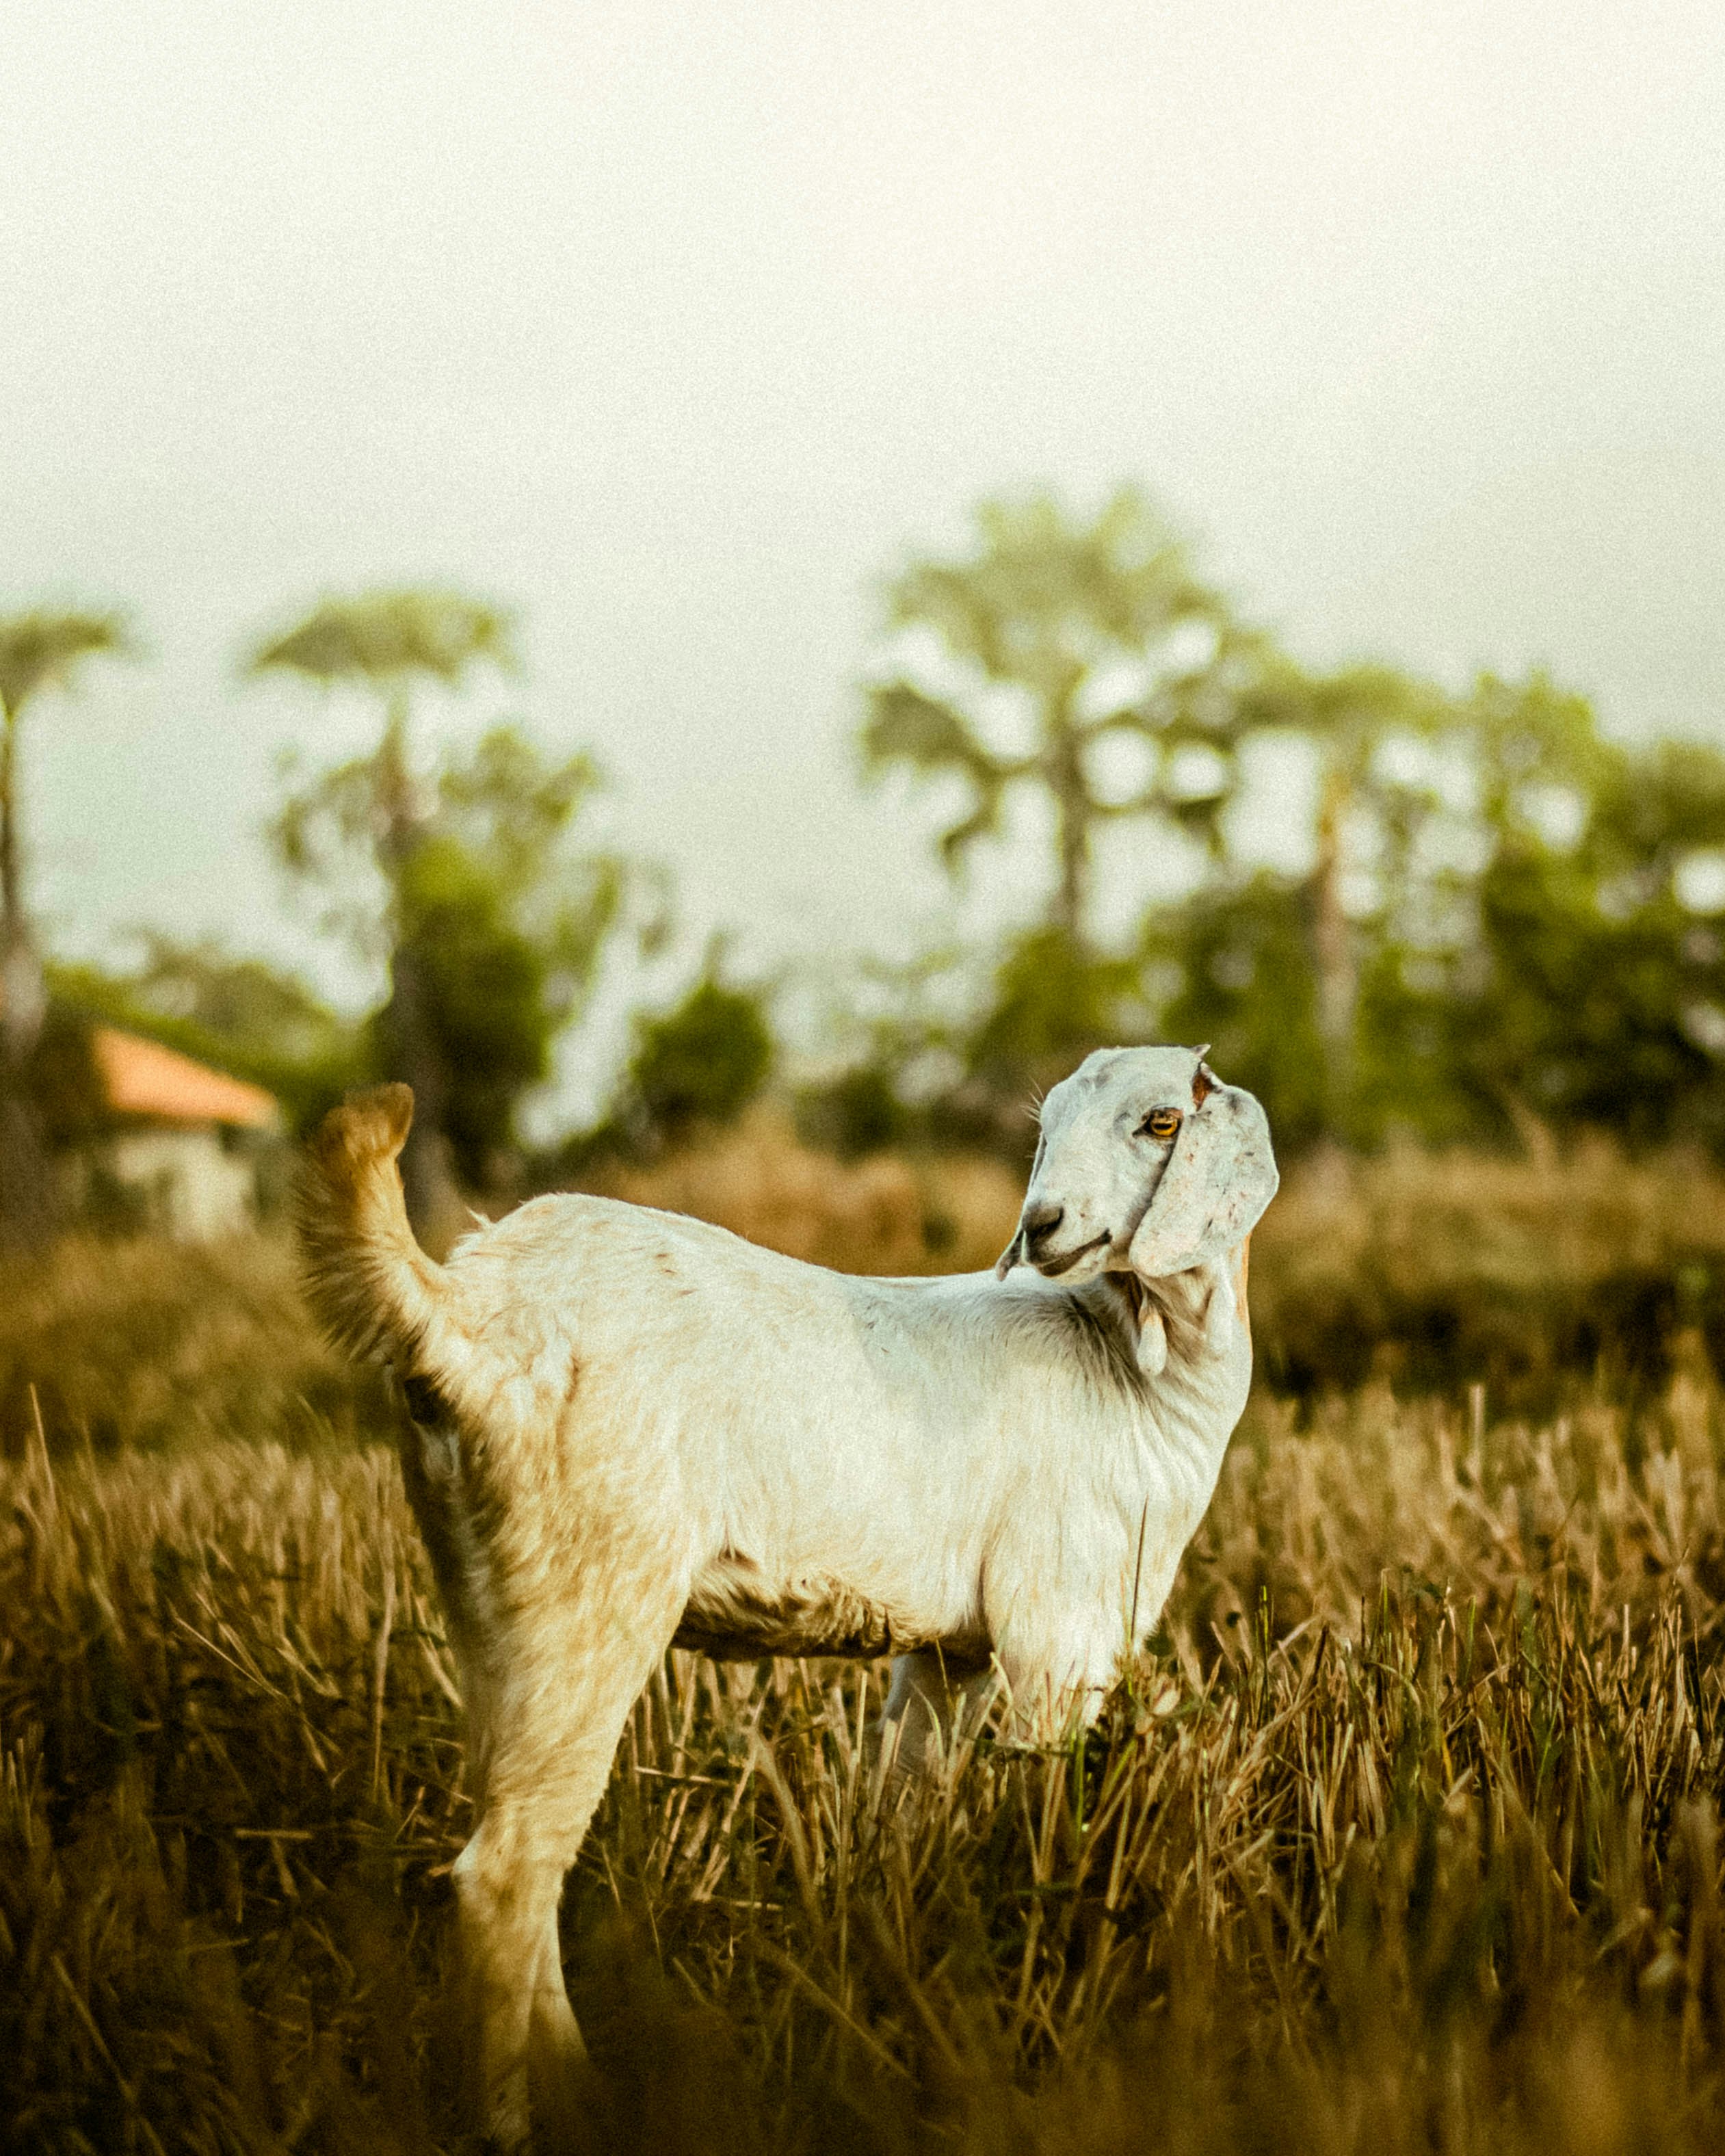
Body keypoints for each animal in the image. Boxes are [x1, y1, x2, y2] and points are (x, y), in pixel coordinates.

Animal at [297, 1043, 1277, 2146]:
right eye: (1049, 1124)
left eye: (1161, 1121)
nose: (1042, 1225)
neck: (1134, 1372)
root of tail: (461, 1309)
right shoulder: (1057, 1635)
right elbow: (1046, 1810)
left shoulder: (949, 1654)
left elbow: (910, 1811)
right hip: (591, 1578)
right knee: (505, 1869)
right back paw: (517, 2122)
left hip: (486, 1594)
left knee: (519, 1846)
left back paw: (584, 2093)